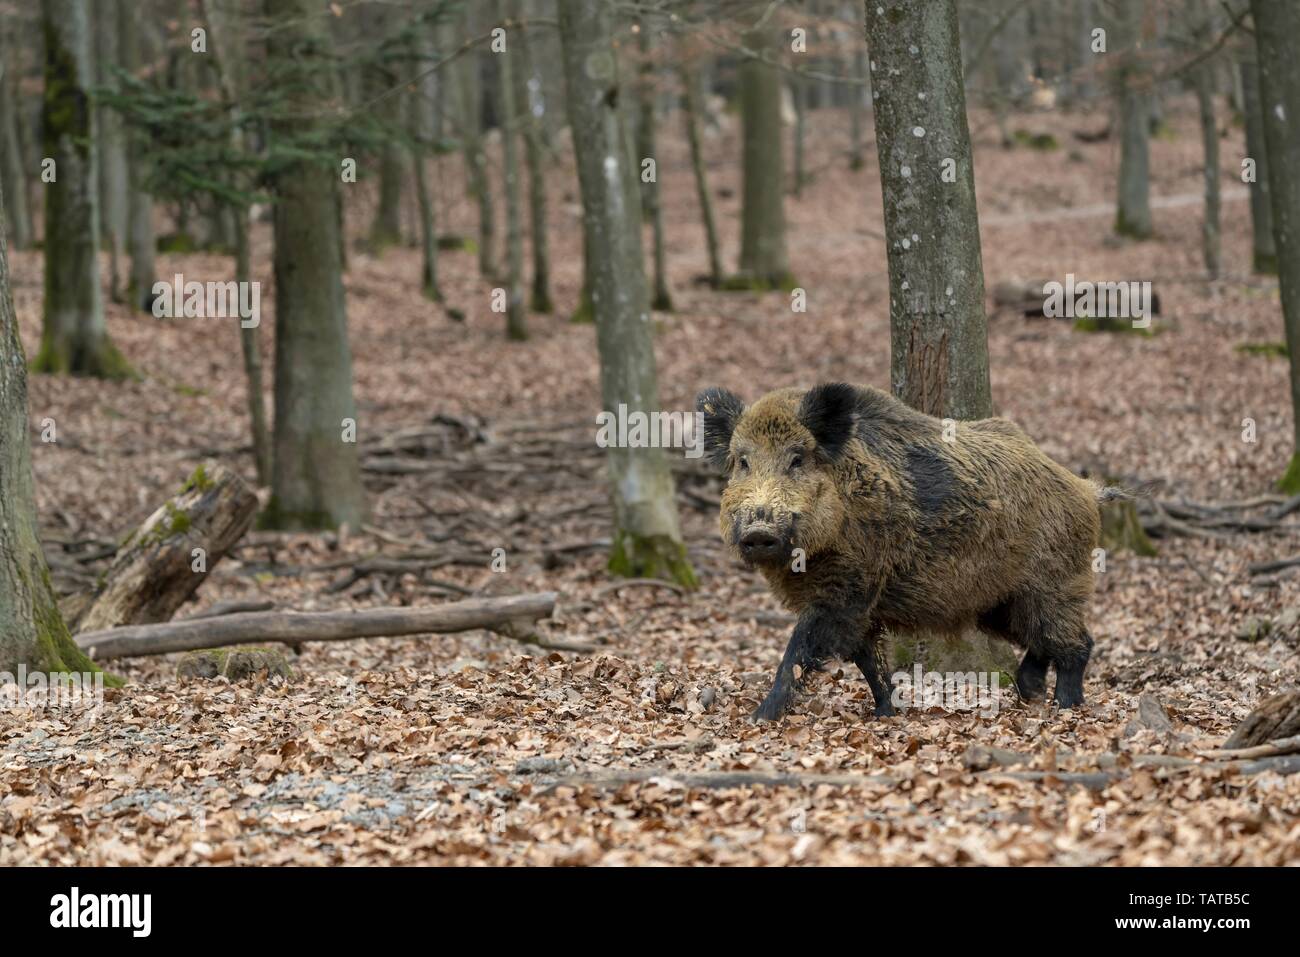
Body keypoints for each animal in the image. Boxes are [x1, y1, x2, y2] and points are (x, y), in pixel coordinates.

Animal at [696, 382, 1116, 721]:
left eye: (797, 458)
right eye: (743, 461)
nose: (758, 531)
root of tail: (1086, 488)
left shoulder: (847, 589)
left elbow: (799, 651)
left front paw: (759, 718)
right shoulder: (860, 607)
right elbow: (869, 661)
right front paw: (887, 713)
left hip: (1055, 581)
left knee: (1077, 643)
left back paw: (1065, 706)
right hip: (999, 602)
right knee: (1042, 639)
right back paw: (1030, 693)